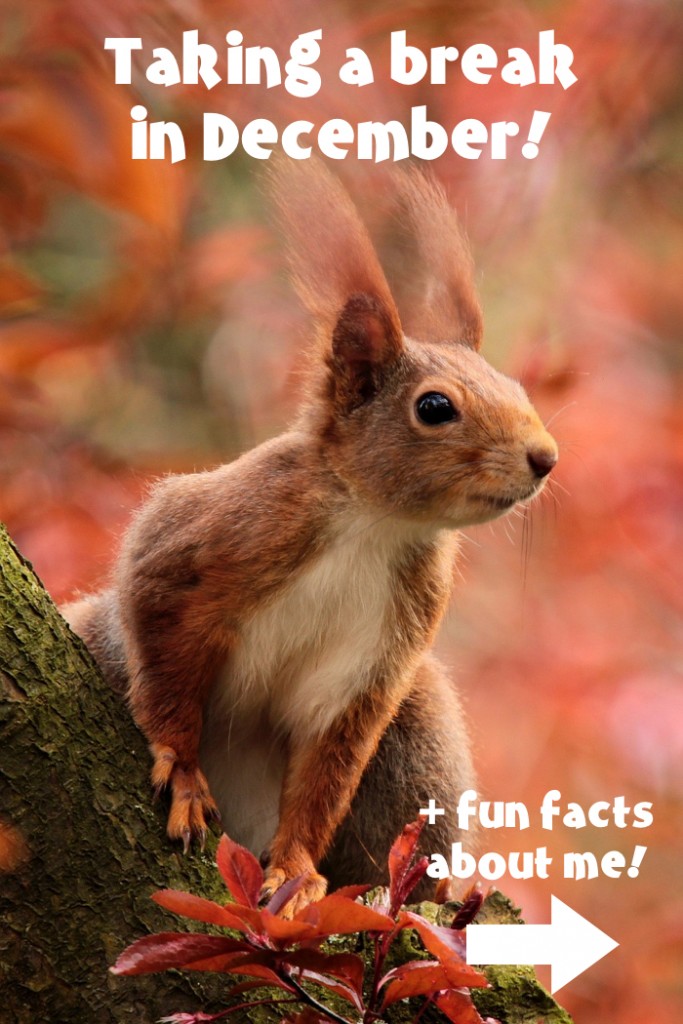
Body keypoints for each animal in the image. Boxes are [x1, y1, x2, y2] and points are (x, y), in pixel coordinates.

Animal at [63, 160, 558, 916]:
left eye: (515, 386)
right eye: (434, 407)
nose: (545, 457)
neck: (375, 526)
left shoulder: (375, 664)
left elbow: (328, 769)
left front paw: (296, 873)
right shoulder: (203, 541)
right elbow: (161, 648)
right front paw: (182, 771)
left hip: (423, 737)